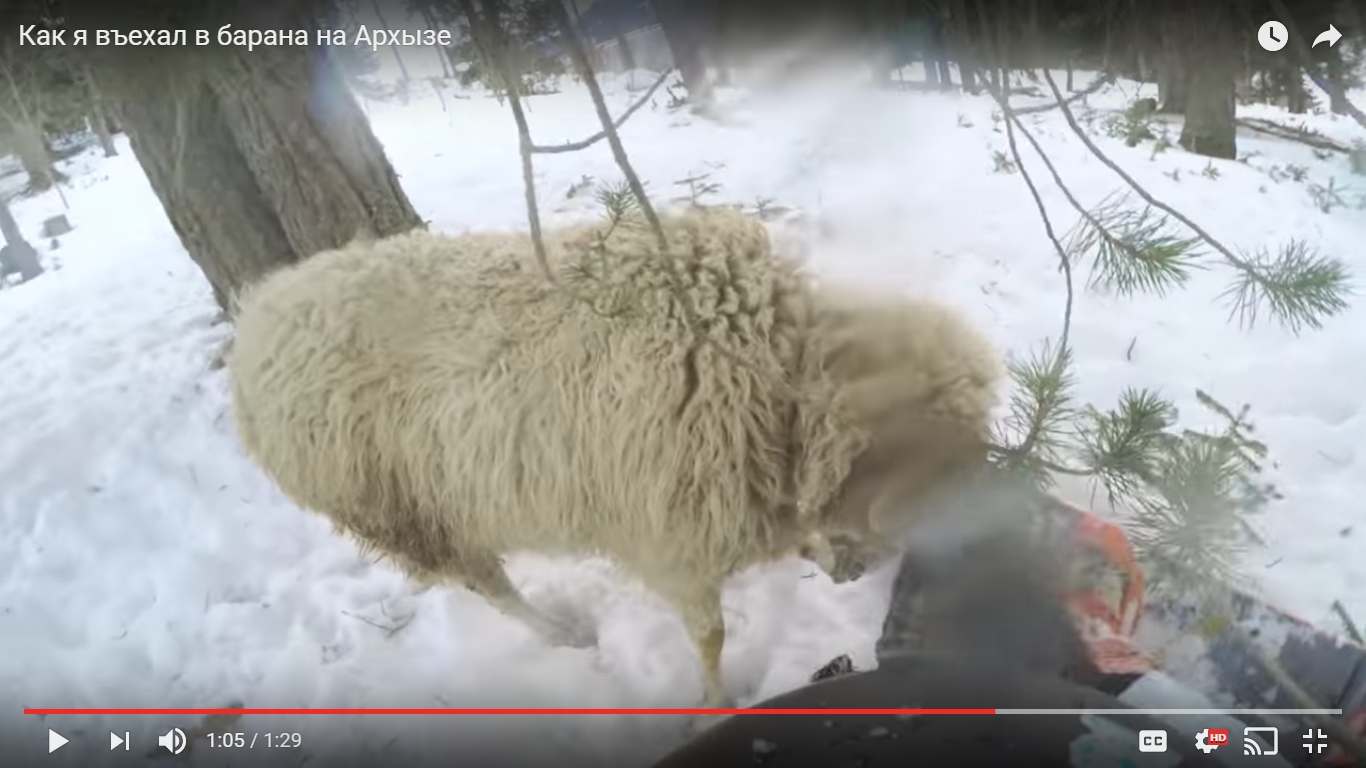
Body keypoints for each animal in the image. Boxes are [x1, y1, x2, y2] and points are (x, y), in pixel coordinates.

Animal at [227, 206, 1002, 708]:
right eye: (933, 465)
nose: (866, 573)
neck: (762, 363)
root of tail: (259, 313)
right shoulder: (672, 538)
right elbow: (711, 636)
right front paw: (715, 704)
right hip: (409, 511)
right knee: (487, 584)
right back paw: (562, 634)